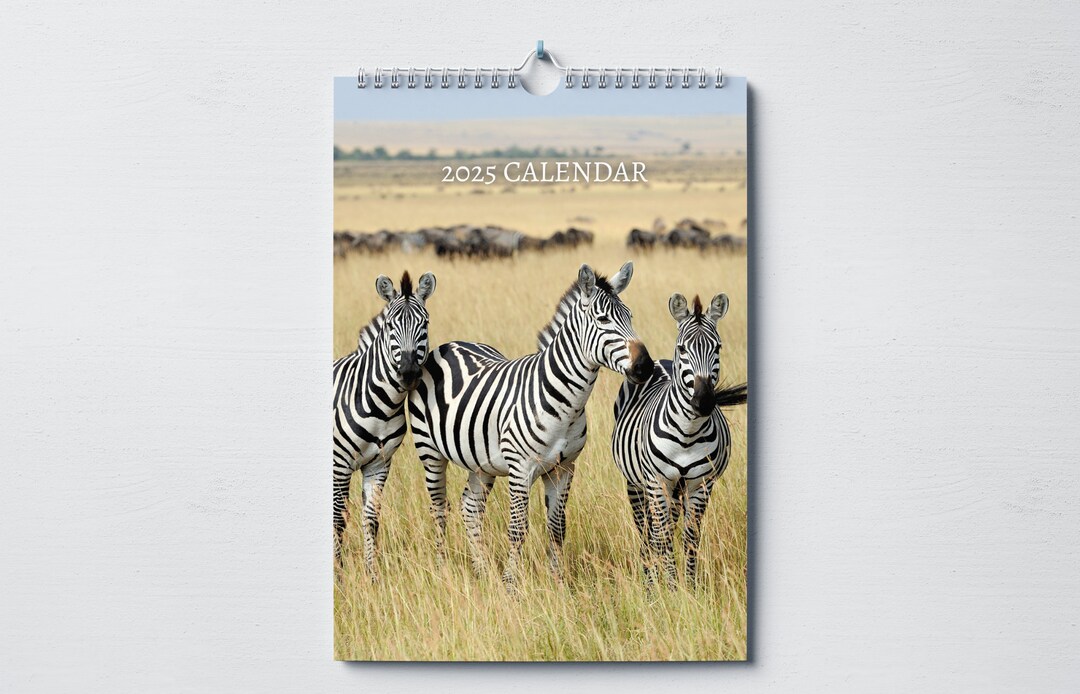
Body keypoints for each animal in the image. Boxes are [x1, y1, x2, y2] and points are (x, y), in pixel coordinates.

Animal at [333, 270, 436, 579]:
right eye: (391, 325)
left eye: (425, 323)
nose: (409, 373)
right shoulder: (340, 464)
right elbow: (339, 519)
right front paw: (338, 576)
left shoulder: (379, 464)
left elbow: (371, 519)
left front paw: (372, 575)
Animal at [407, 262, 654, 586]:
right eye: (603, 320)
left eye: (630, 316)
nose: (645, 367)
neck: (567, 404)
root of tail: (451, 344)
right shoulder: (520, 469)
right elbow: (518, 529)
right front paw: (510, 585)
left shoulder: (564, 469)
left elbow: (558, 529)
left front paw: (557, 583)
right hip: (430, 451)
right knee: (439, 509)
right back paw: (442, 569)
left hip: (481, 463)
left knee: (470, 509)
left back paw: (483, 571)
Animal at [611, 292, 747, 589]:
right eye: (683, 348)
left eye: (718, 347)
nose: (704, 401)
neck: (688, 431)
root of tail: (660, 361)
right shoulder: (657, 482)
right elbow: (662, 538)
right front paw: (671, 589)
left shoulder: (701, 484)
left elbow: (690, 538)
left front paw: (690, 588)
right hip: (637, 485)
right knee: (647, 532)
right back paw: (650, 582)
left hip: (677, 490)